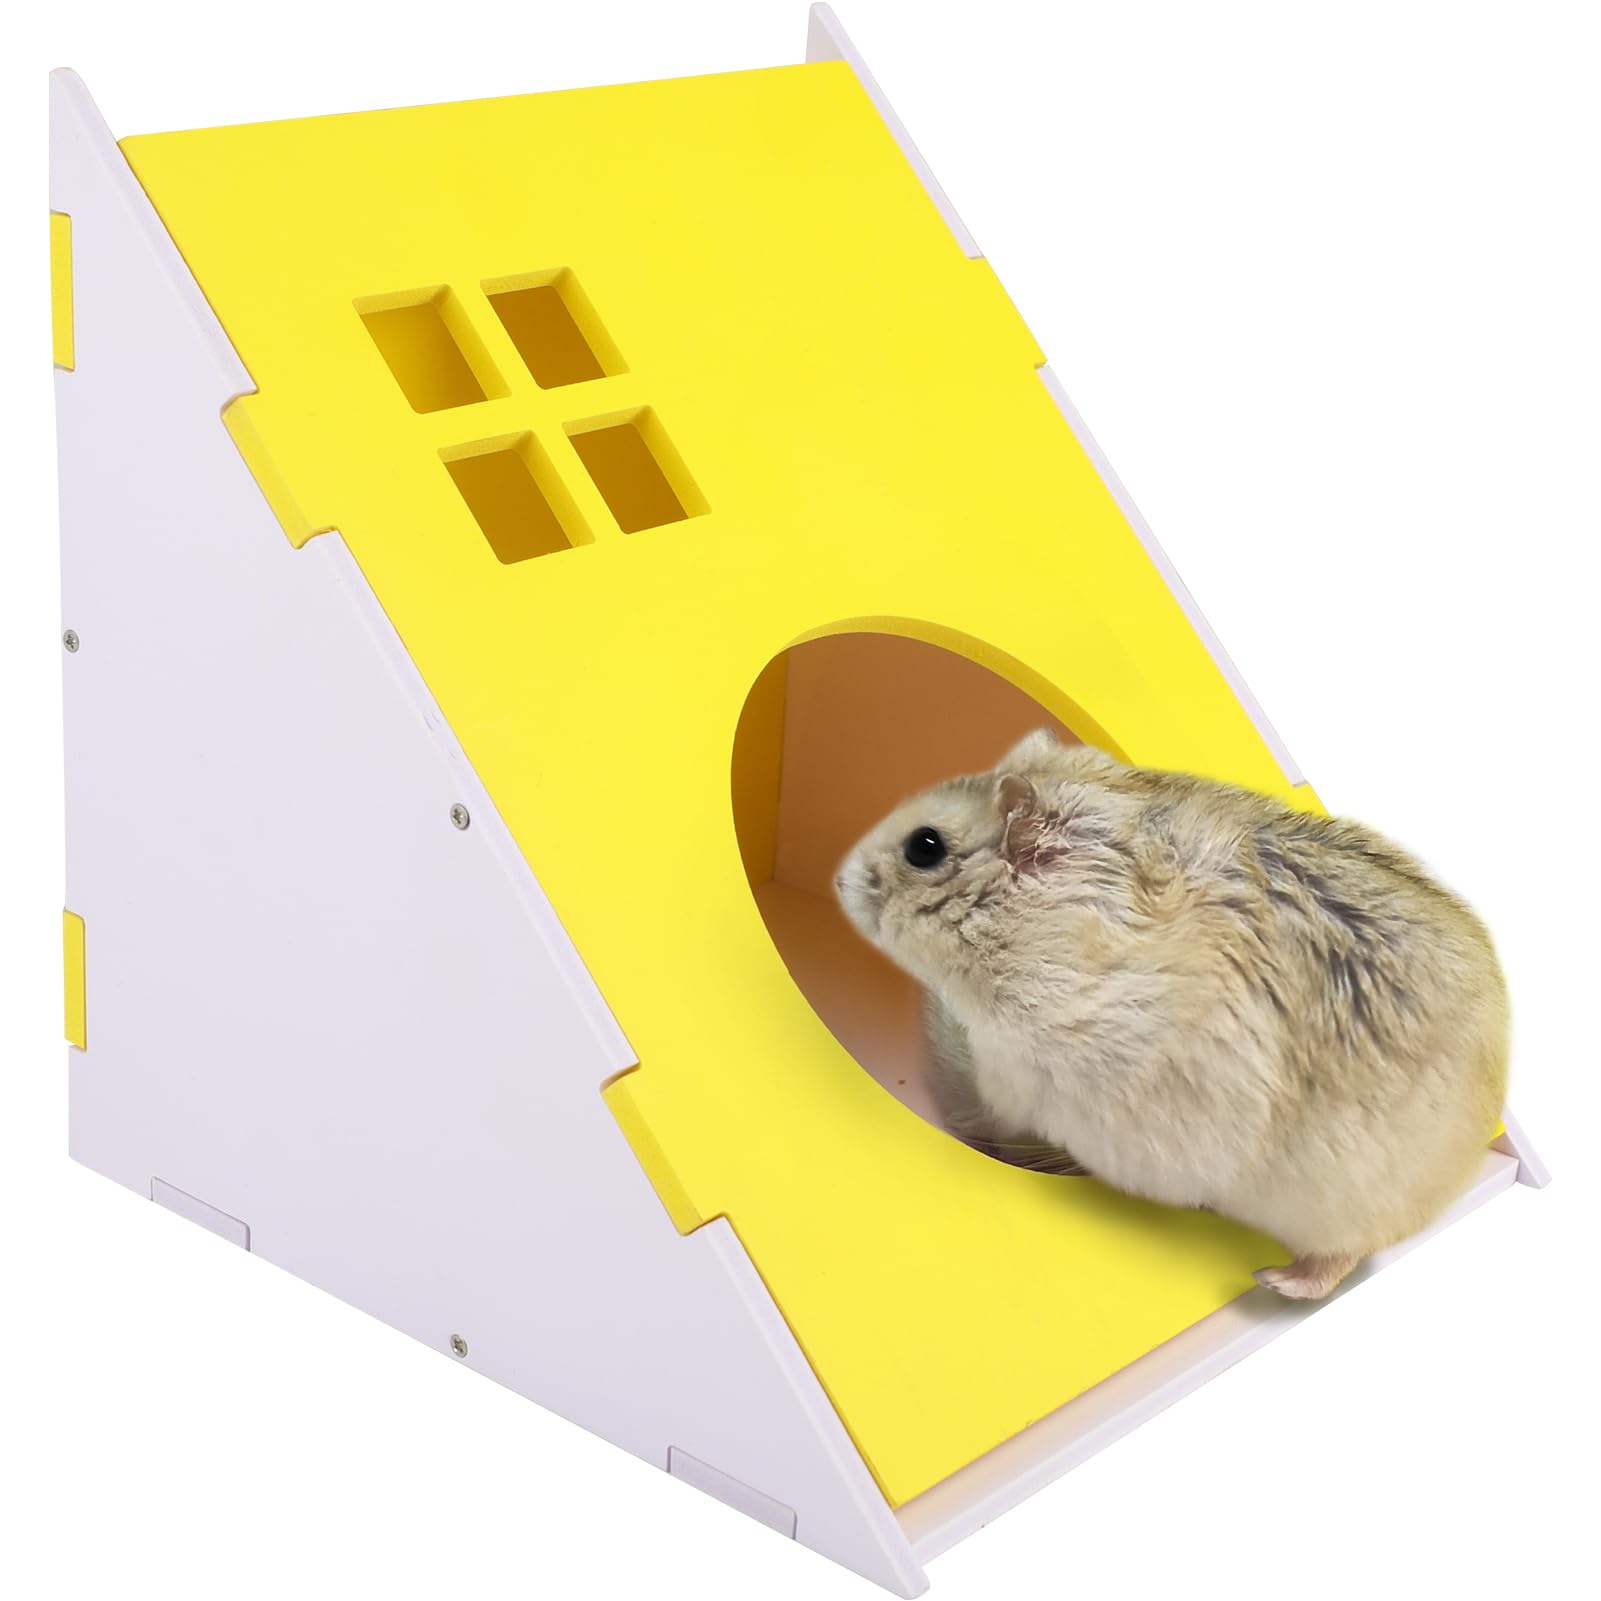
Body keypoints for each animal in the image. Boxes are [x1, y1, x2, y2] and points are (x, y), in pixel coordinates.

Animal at [835, 729, 1508, 1299]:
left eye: (924, 847)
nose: (837, 881)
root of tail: (1470, 1152)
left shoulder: (1024, 1072)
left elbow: (999, 1109)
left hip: (1334, 1201)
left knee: (1341, 1257)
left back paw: (1274, 1281)